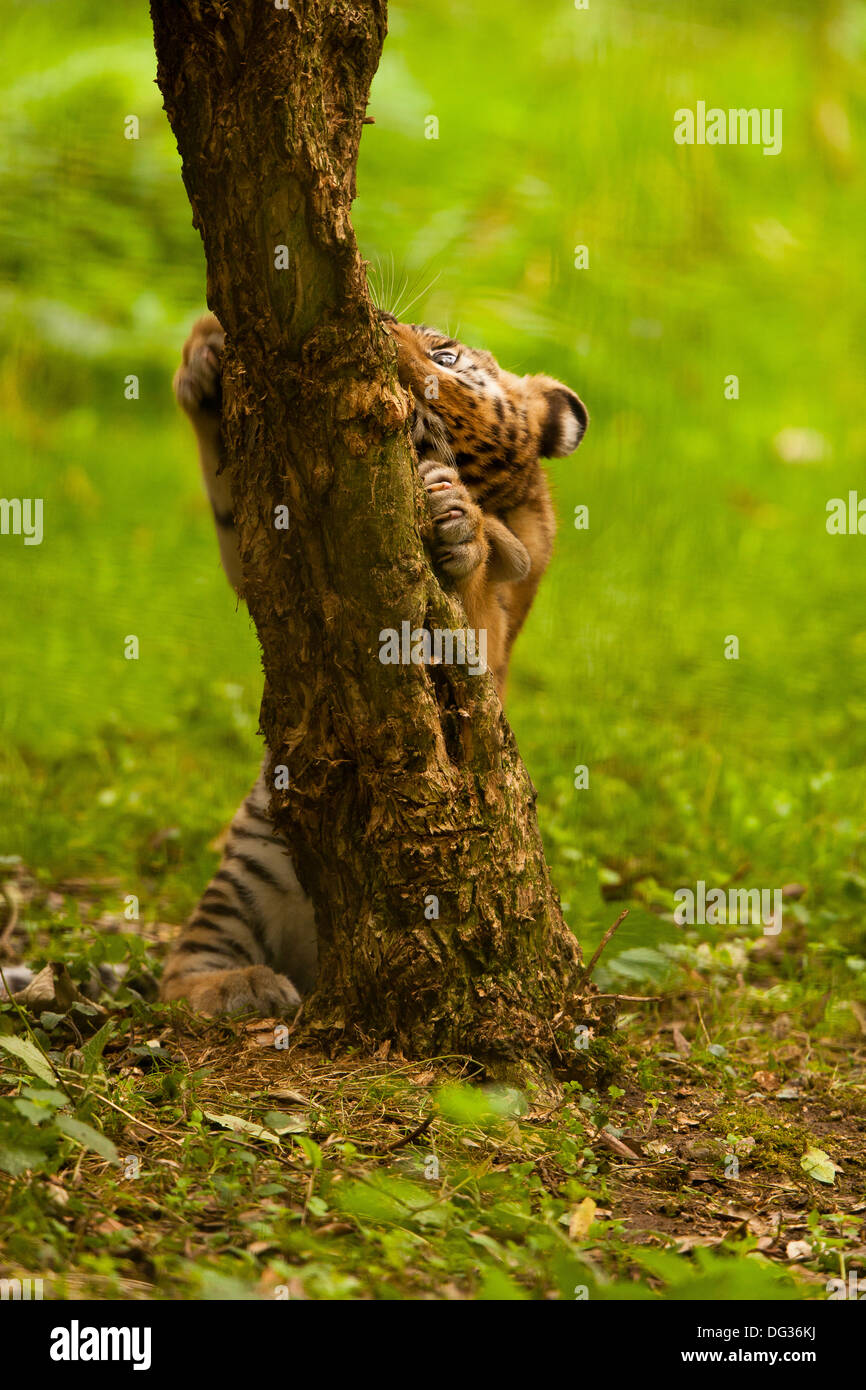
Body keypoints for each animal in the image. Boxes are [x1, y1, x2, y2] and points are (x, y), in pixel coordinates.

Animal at [161, 310, 588, 1015]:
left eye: (420, 427)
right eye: (445, 356)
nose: (385, 334)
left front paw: (460, 524)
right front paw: (207, 355)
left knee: (175, 976)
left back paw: (241, 988)